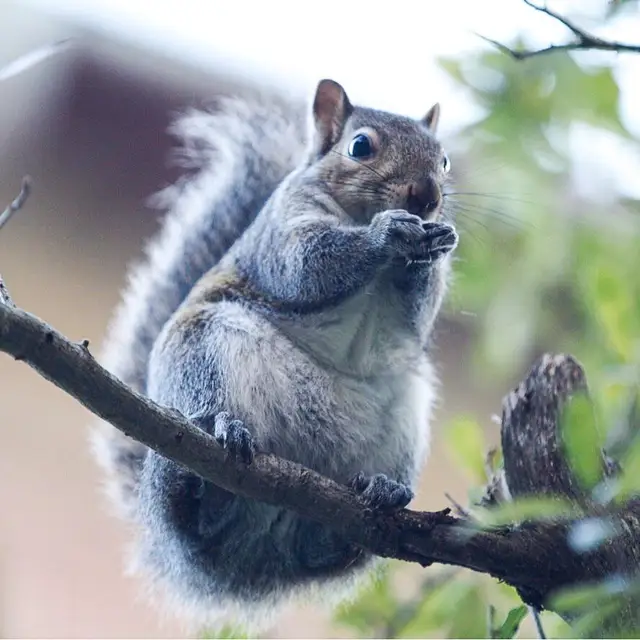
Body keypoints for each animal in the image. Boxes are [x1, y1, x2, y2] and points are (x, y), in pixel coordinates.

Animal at [91, 78, 458, 632]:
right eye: (360, 146)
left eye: (444, 160)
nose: (427, 197)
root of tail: (253, 552)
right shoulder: (284, 224)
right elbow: (304, 264)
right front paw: (388, 233)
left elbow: (418, 314)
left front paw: (435, 245)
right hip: (203, 357)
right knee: (190, 513)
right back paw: (211, 458)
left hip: (402, 421)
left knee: (324, 551)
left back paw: (376, 497)